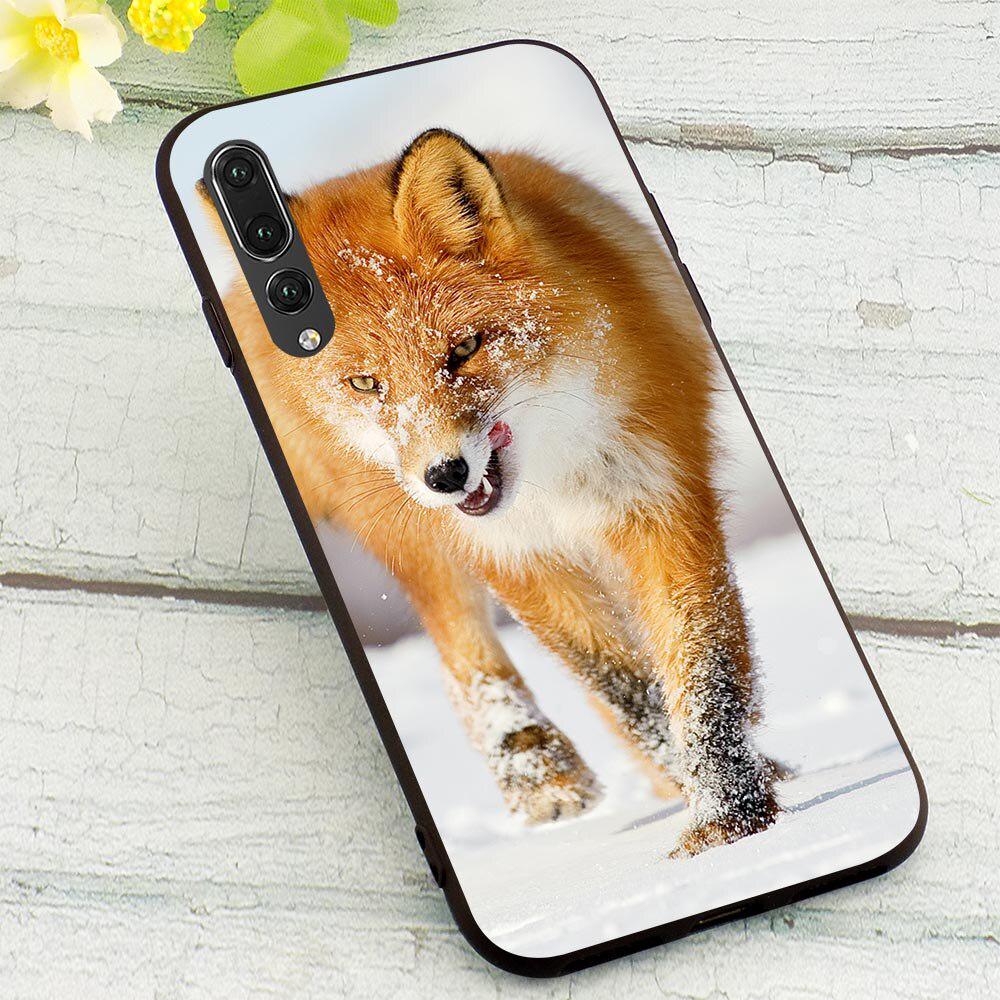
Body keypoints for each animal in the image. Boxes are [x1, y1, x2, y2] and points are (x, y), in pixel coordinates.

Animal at [203, 128, 780, 857]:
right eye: (366, 384)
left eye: (465, 348)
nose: (445, 475)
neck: (552, 479)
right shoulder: (516, 556)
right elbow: (621, 684)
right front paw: (715, 809)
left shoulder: (658, 502)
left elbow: (700, 673)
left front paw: (731, 817)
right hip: (413, 540)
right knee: (465, 660)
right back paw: (540, 775)